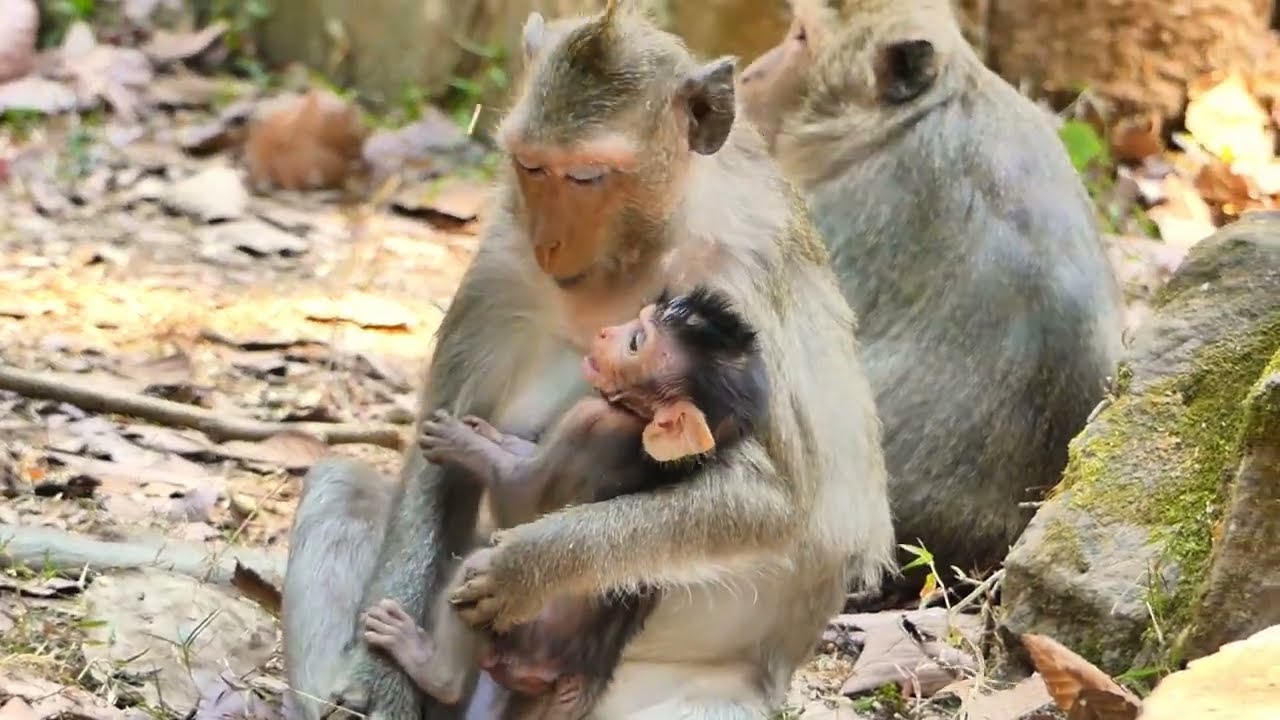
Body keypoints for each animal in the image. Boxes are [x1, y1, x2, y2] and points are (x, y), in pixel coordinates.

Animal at [362, 285, 771, 720]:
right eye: (638, 321)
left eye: (635, 342)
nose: (606, 332)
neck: (636, 420)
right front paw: (489, 435)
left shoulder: (589, 420)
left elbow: (523, 501)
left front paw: (462, 444)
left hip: (524, 633)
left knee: (476, 573)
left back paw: (432, 668)